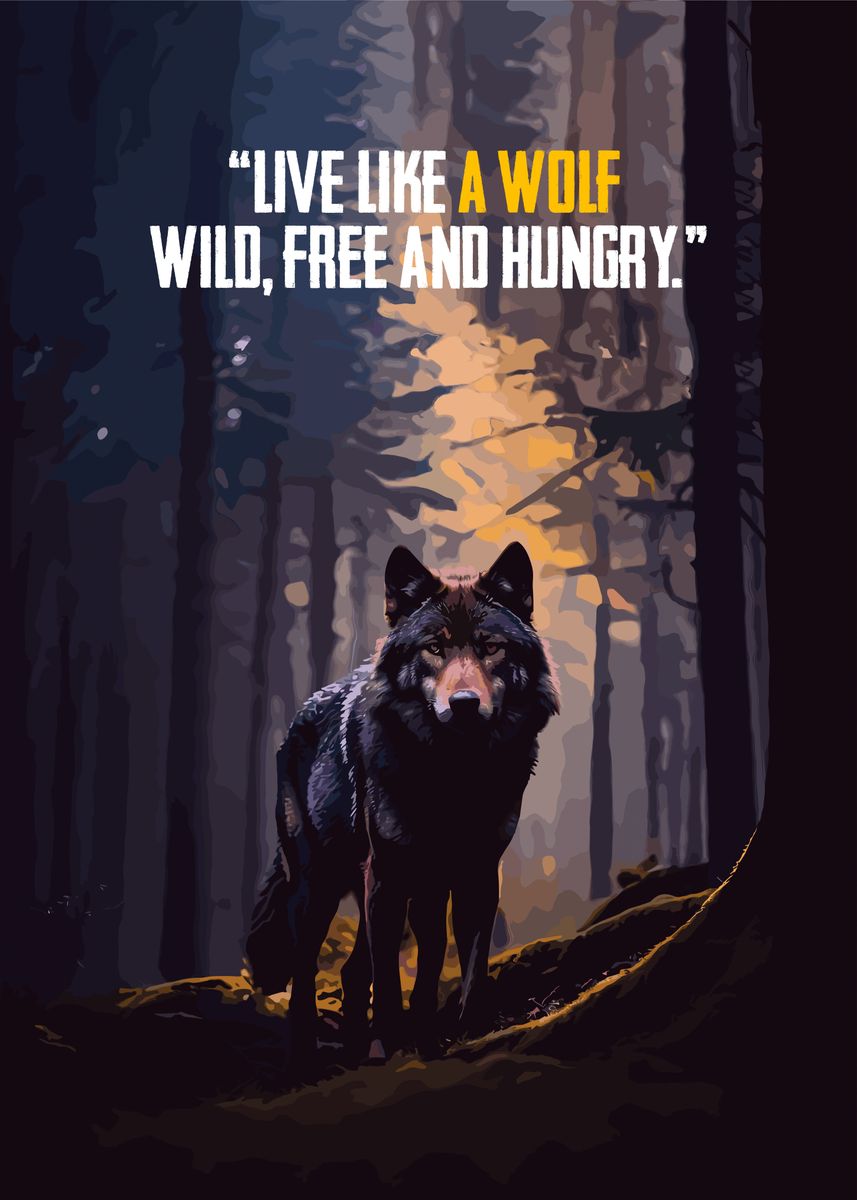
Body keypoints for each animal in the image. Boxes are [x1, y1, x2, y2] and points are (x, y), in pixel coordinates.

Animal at [245, 542, 559, 1059]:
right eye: (434, 647)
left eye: (491, 647)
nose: (465, 703)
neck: (454, 777)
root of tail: (301, 712)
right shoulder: (388, 877)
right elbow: (390, 982)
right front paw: (392, 1046)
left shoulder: (475, 875)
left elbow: (466, 967)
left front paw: (461, 1035)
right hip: (317, 884)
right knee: (308, 966)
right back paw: (307, 1049)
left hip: (401, 889)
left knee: (358, 970)